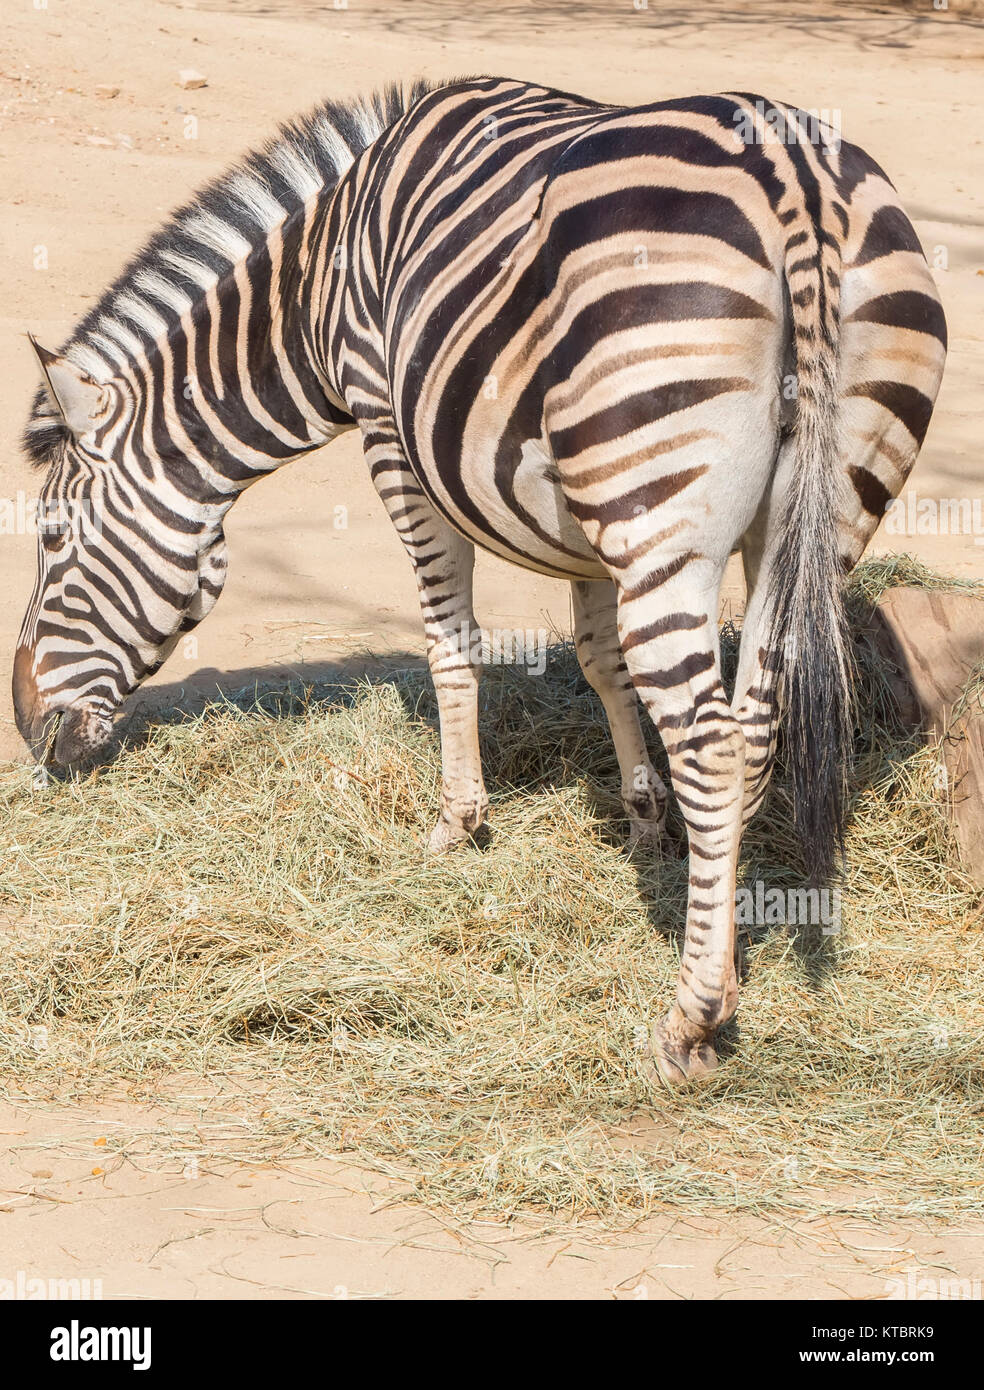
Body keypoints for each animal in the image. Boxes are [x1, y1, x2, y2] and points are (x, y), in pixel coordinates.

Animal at [13, 78, 947, 1083]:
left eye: (53, 537)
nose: (28, 732)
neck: (320, 280)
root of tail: (793, 175)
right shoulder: (586, 510)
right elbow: (600, 656)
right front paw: (643, 818)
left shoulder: (391, 433)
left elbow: (448, 639)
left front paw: (457, 824)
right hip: (811, 514)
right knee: (757, 723)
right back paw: (733, 929)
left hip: (659, 509)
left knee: (712, 741)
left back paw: (692, 1016)